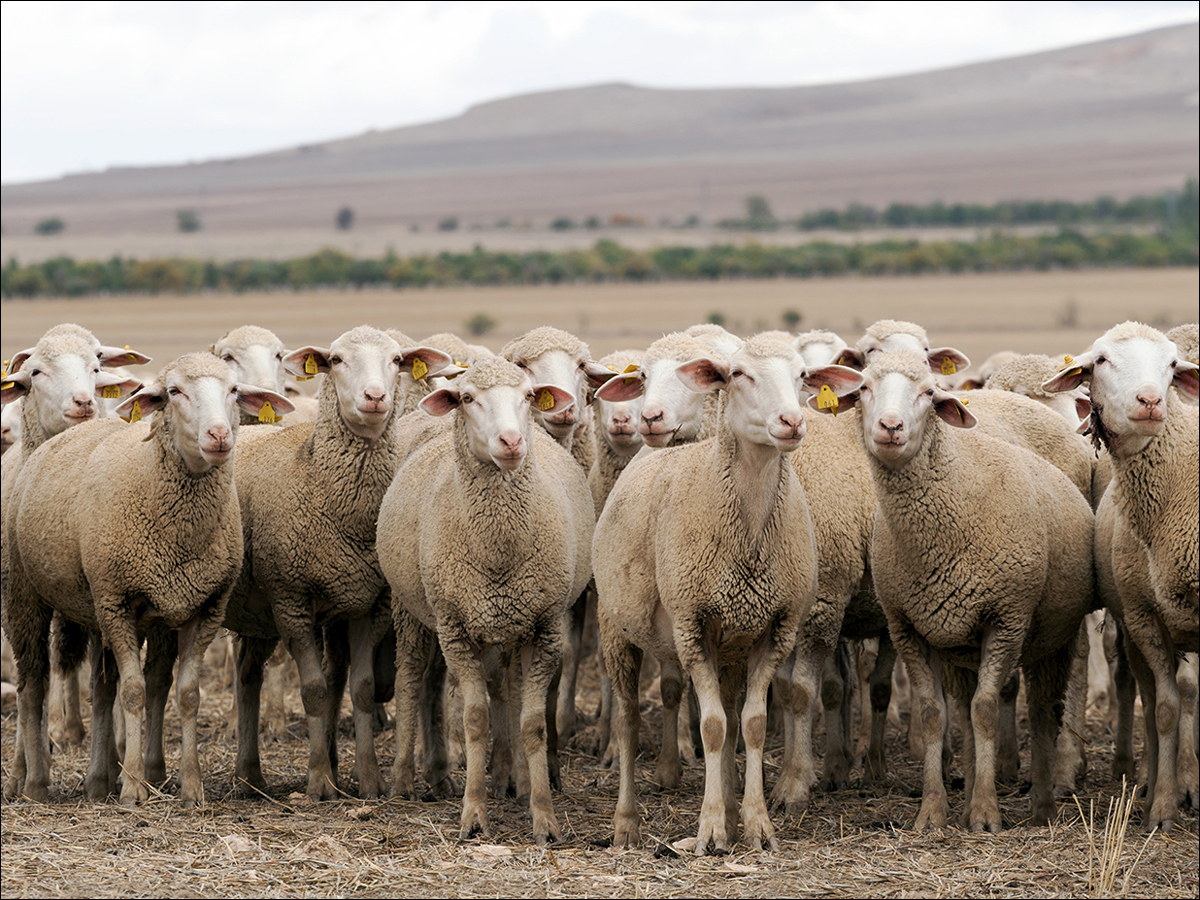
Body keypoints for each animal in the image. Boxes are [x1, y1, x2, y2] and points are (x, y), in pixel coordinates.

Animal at [3, 353, 290, 806]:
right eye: (173, 391)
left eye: (233, 390)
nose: (219, 435)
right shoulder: (118, 604)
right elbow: (134, 691)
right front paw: (134, 787)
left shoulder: (204, 609)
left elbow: (185, 694)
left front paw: (190, 787)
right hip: (27, 593)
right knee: (33, 682)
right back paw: (35, 783)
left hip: (105, 605)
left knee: (103, 687)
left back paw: (100, 780)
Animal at [378, 357, 594, 844]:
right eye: (467, 398)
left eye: (529, 395)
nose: (511, 442)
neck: (498, 549)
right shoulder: (455, 629)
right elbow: (474, 718)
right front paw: (473, 813)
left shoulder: (544, 627)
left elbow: (530, 721)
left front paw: (543, 815)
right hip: (411, 607)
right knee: (411, 677)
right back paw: (402, 779)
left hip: (504, 626)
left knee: (503, 689)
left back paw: (509, 778)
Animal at [595, 335, 863, 853]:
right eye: (738, 374)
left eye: (803, 376)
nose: (792, 422)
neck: (750, 534)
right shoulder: (692, 626)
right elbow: (712, 726)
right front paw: (711, 827)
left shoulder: (774, 628)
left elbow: (752, 725)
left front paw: (756, 825)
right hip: (615, 627)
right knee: (628, 719)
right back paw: (625, 823)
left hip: (733, 646)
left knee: (734, 712)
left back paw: (735, 810)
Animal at [856, 351, 1094, 832]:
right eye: (864, 387)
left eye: (928, 392)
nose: (890, 427)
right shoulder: (908, 626)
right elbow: (935, 713)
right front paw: (933, 811)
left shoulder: (1005, 618)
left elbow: (985, 709)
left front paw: (985, 811)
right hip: (960, 641)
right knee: (969, 707)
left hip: (1051, 630)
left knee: (1045, 707)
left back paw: (1046, 799)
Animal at [1043, 321, 1199, 831]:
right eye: (1102, 360)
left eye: (1171, 364)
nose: (1150, 400)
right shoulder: (1145, 615)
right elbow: (1166, 709)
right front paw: (1164, 808)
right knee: (1150, 698)